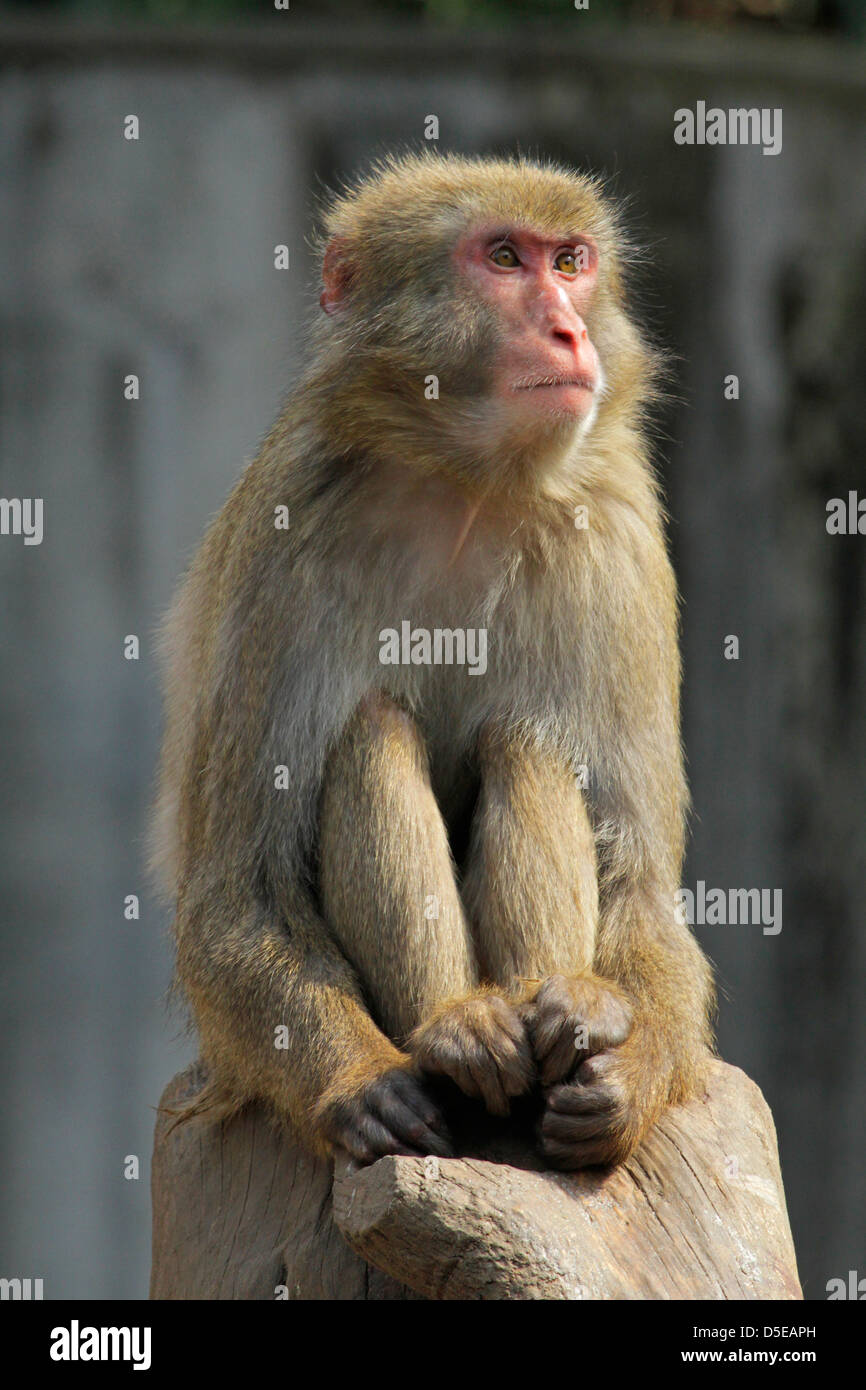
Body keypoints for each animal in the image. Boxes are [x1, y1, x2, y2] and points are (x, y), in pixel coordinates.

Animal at [151, 151, 714, 1172]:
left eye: (570, 262)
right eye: (503, 257)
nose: (570, 329)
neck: (467, 484)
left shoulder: (619, 535)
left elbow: (644, 889)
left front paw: (625, 1075)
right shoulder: (286, 526)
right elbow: (237, 895)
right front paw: (356, 1080)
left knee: (529, 738)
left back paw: (550, 1014)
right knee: (370, 728)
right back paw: (458, 1026)